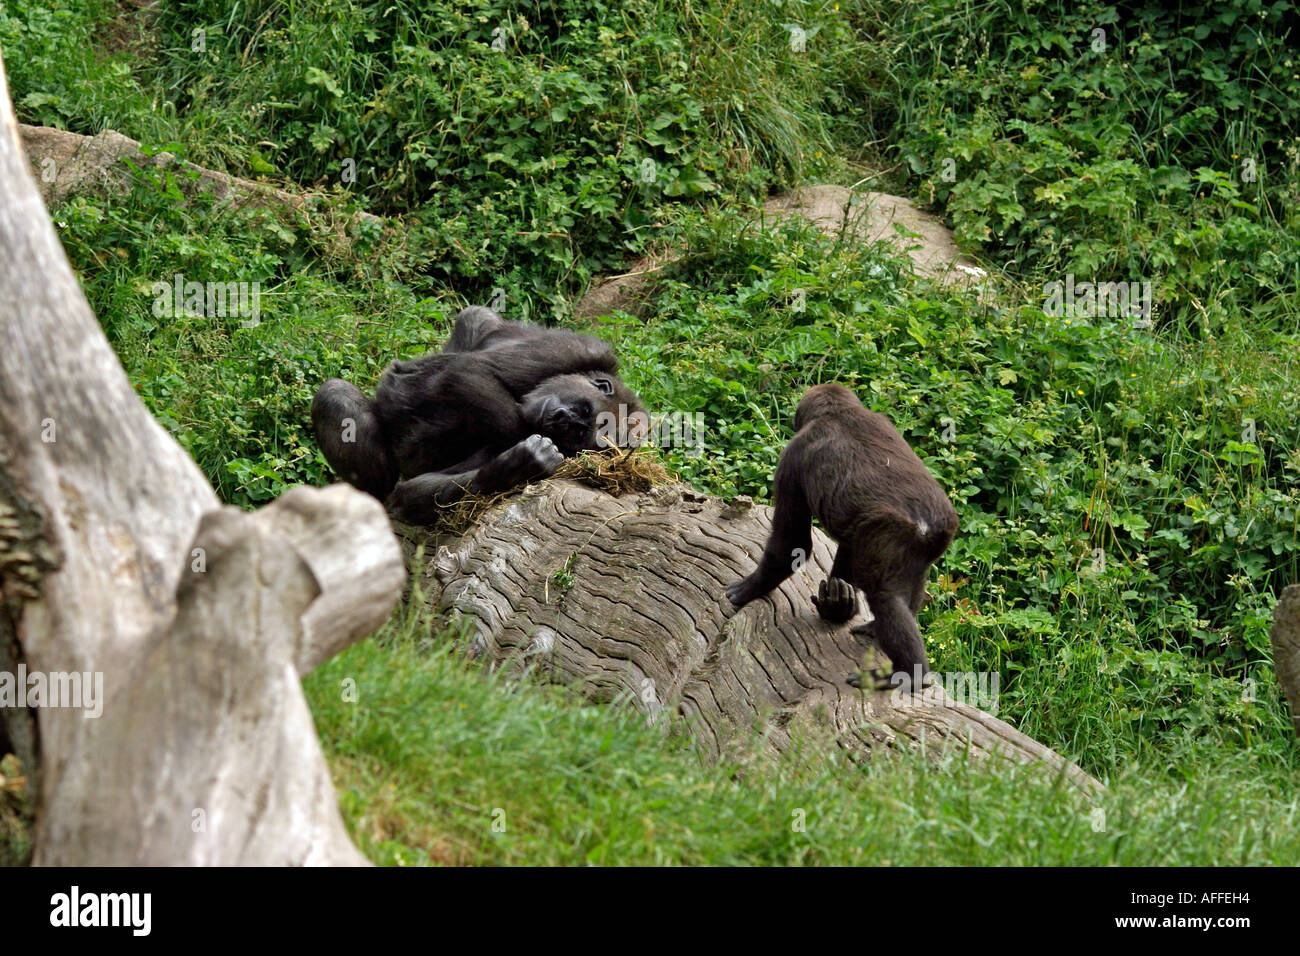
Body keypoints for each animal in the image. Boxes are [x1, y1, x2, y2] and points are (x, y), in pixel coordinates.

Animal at [312, 306, 647, 525]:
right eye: (583, 411)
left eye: (578, 433)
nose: (562, 419)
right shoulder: (580, 350)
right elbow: (469, 370)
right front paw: (525, 455)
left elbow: (415, 491)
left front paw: (518, 465)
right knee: (335, 395)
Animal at [725, 383, 958, 690]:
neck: (838, 411)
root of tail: (931, 521)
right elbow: (848, 544)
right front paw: (836, 602)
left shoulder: (792, 456)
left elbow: (791, 544)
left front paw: (750, 588)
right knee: (912, 586)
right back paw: (877, 630)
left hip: (896, 532)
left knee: (885, 597)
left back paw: (909, 673)